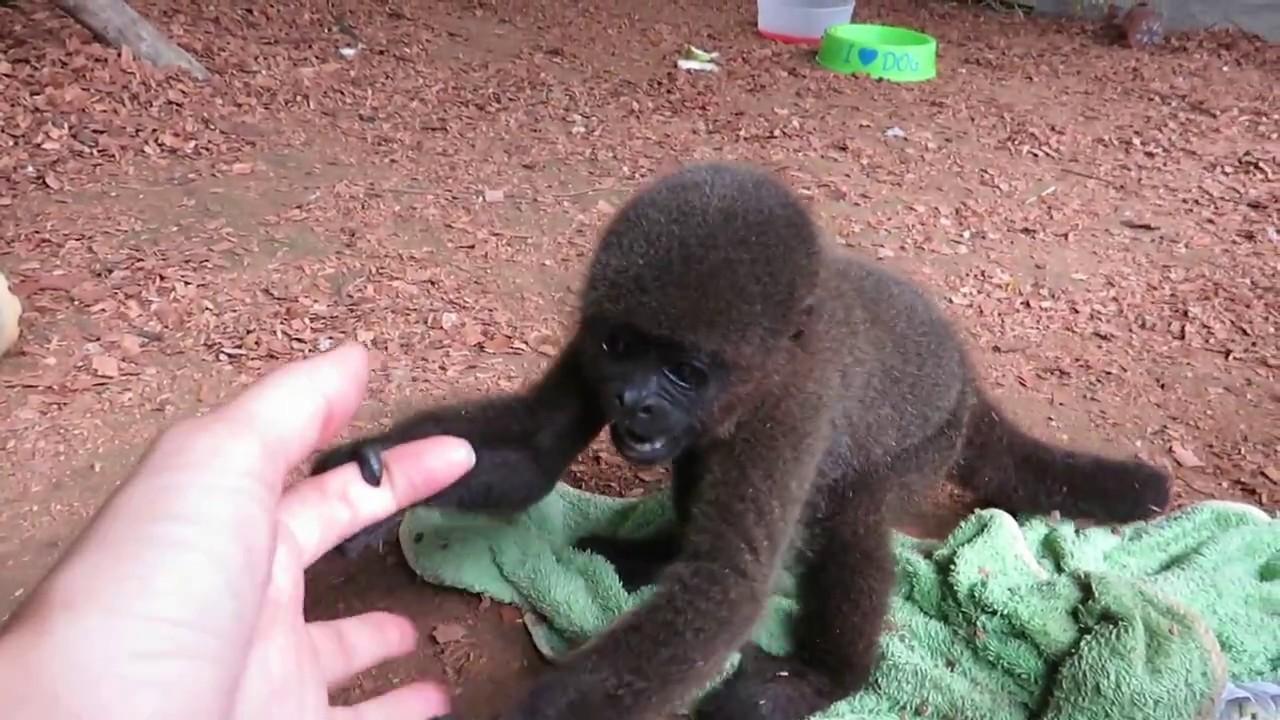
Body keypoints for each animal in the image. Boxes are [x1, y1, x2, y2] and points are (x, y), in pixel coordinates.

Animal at [310, 161, 1172, 720]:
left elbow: (731, 579)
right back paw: (655, 556)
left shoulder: (786, 410)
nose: (633, 402)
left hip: (929, 438)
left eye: (685, 371)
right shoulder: (587, 346)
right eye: (622, 346)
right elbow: (530, 455)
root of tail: (967, 380)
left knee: (852, 520)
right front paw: (369, 478)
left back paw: (826, 676)